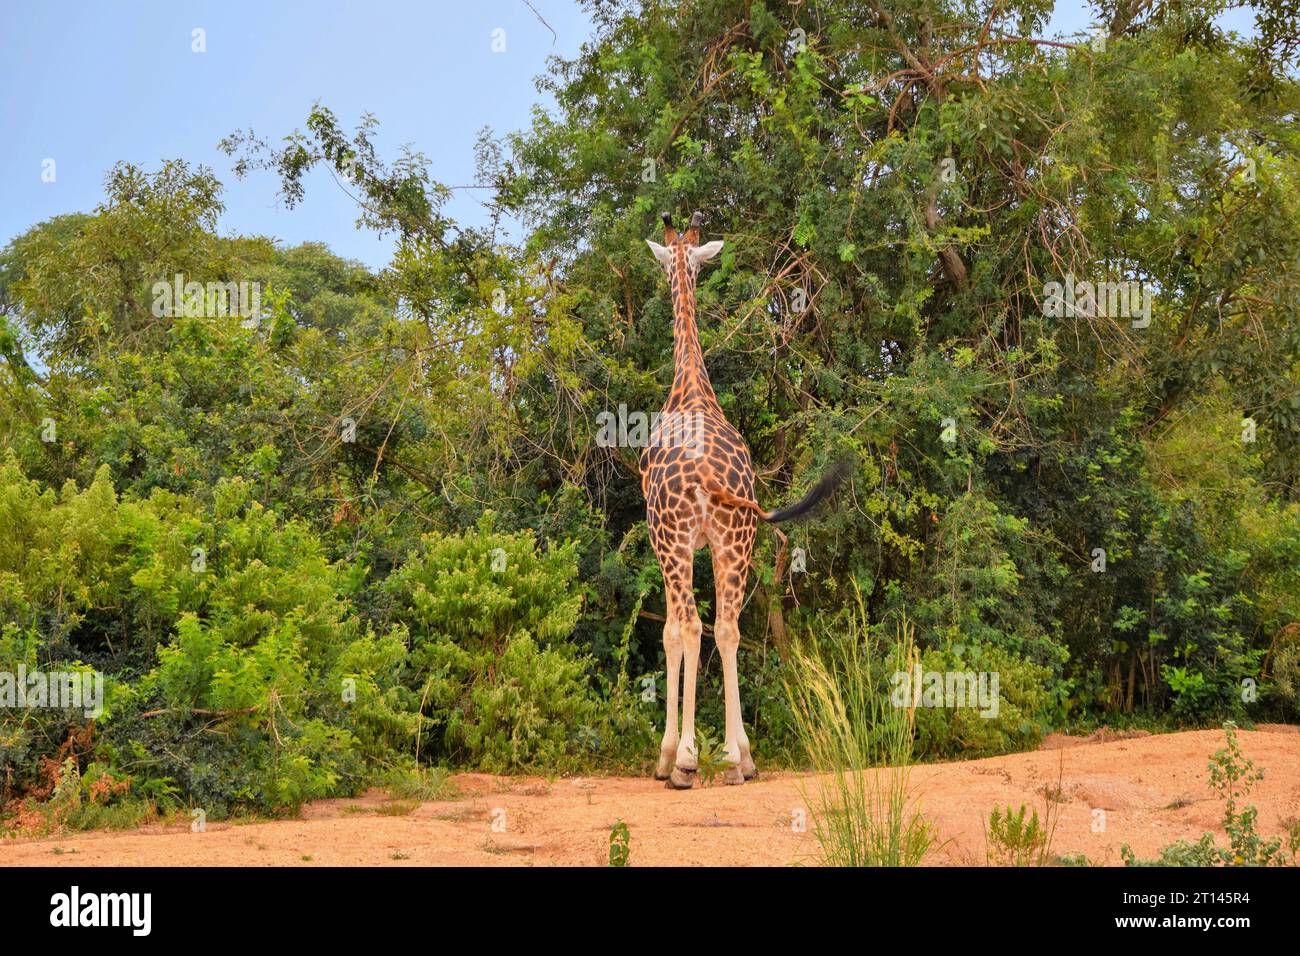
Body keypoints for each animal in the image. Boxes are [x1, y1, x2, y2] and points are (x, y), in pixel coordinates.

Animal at [642, 211, 850, 788]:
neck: (690, 385)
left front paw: (668, 753)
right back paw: (741, 760)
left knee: (693, 626)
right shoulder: (709, 545)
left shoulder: (666, 542)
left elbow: (670, 632)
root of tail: (708, 475)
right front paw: (728, 751)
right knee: (729, 628)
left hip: (677, 540)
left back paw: (687, 762)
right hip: (738, 542)